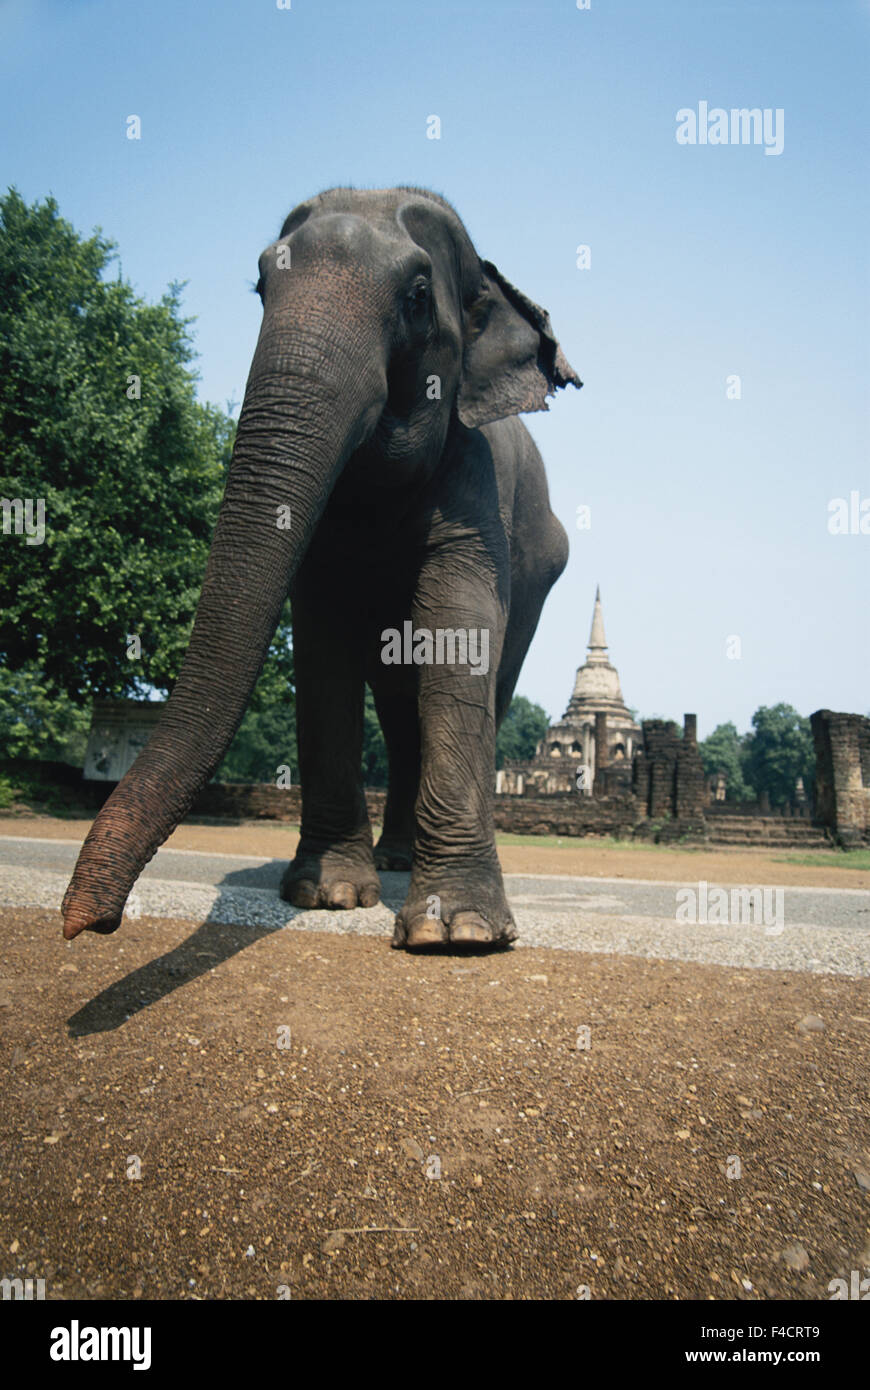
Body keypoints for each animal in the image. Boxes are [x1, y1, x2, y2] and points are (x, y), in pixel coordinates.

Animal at [61, 186, 581, 950]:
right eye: (259, 287)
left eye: (418, 296)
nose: (91, 925)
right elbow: (323, 645)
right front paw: (328, 895)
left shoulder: (477, 487)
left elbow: (459, 635)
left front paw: (459, 932)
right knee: (396, 707)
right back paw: (393, 859)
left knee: (487, 684)